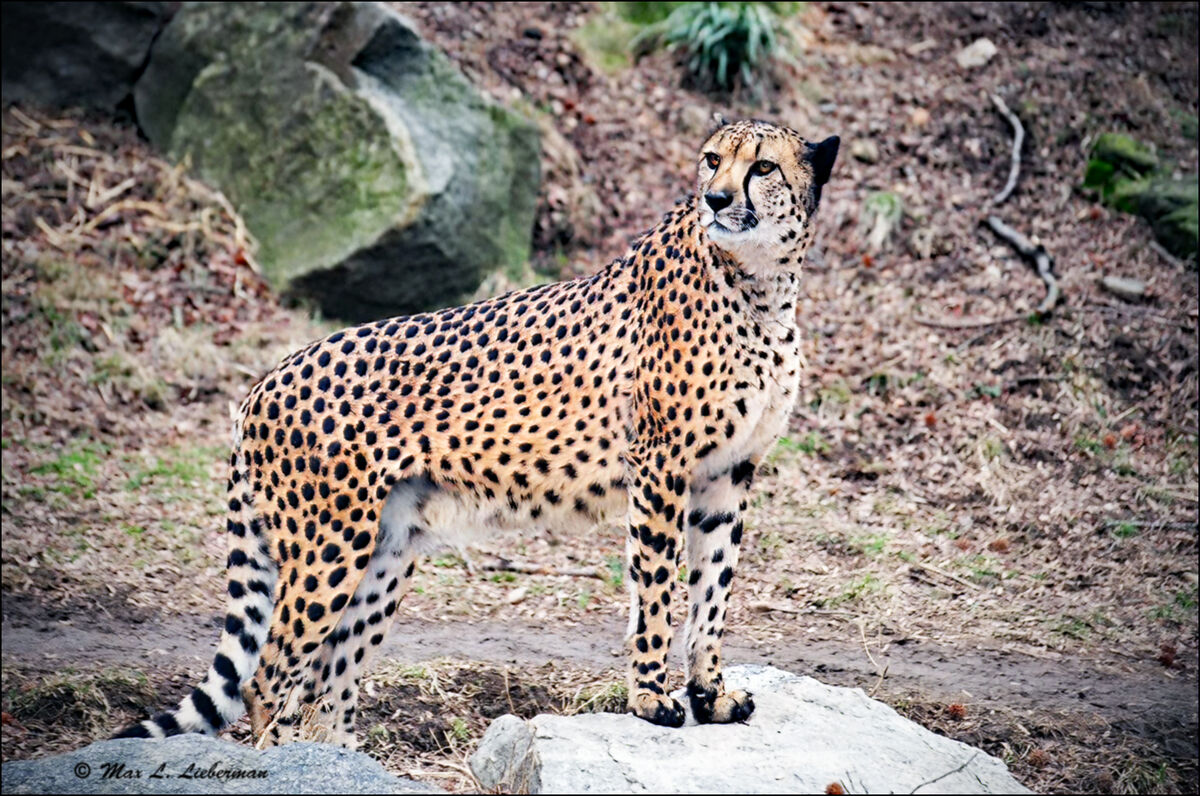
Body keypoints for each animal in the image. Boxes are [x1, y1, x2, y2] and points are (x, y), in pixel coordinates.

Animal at [115, 118, 839, 747]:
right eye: (713, 160)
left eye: (763, 167)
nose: (716, 198)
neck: (761, 284)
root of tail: (263, 380)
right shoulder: (661, 466)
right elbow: (658, 588)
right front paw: (653, 698)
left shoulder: (728, 472)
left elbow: (713, 590)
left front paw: (711, 695)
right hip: (328, 547)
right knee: (269, 677)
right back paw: (284, 762)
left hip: (386, 551)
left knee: (327, 679)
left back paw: (331, 756)